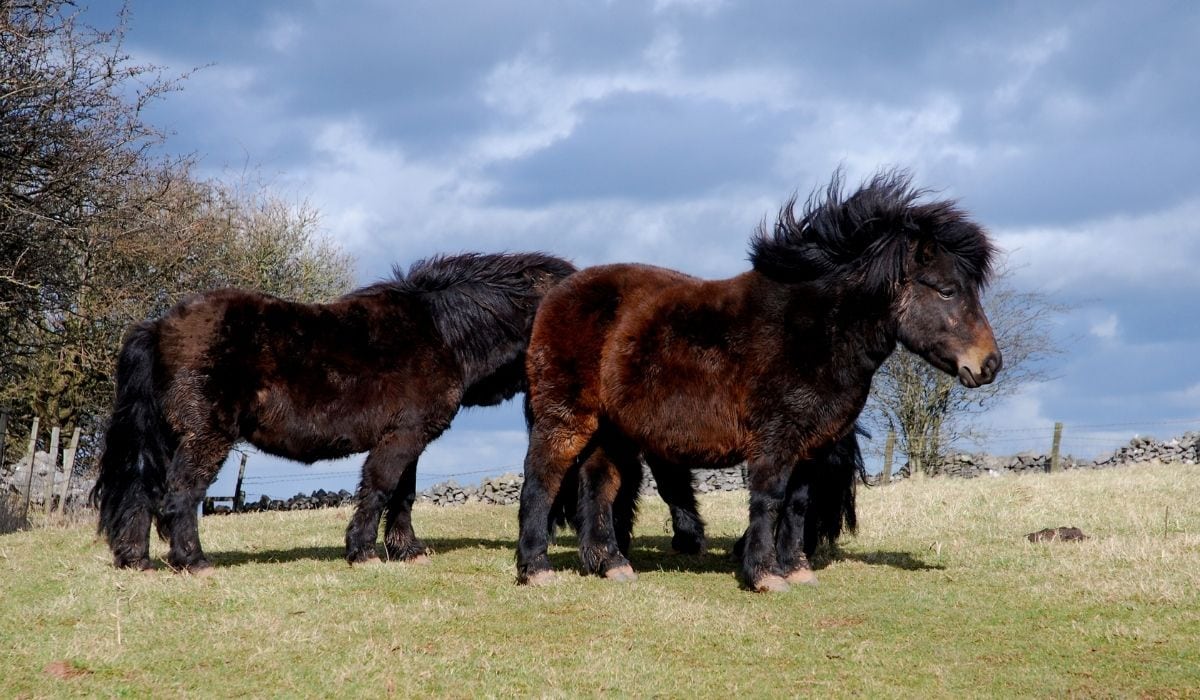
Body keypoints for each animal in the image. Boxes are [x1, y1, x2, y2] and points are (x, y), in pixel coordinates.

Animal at [92, 252, 576, 573]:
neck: (442, 333)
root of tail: (158, 326)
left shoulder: (409, 437)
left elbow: (403, 495)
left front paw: (406, 550)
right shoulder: (402, 437)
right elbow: (380, 488)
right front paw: (362, 551)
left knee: (141, 491)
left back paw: (136, 560)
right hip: (205, 437)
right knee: (181, 494)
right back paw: (193, 561)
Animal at [517, 169, 1000, 592]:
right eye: (946, 290)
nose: (989, 364)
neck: (811, 331)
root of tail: (556, 295)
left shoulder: (812, 445)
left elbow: (798, 505)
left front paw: (796, 569)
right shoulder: (775, 440)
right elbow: (768, 499)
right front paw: (764, 575)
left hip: (612, 430)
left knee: (599, 486)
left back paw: (611, 563)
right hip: (567, 418)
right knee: (543, 478)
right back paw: (535, 568)